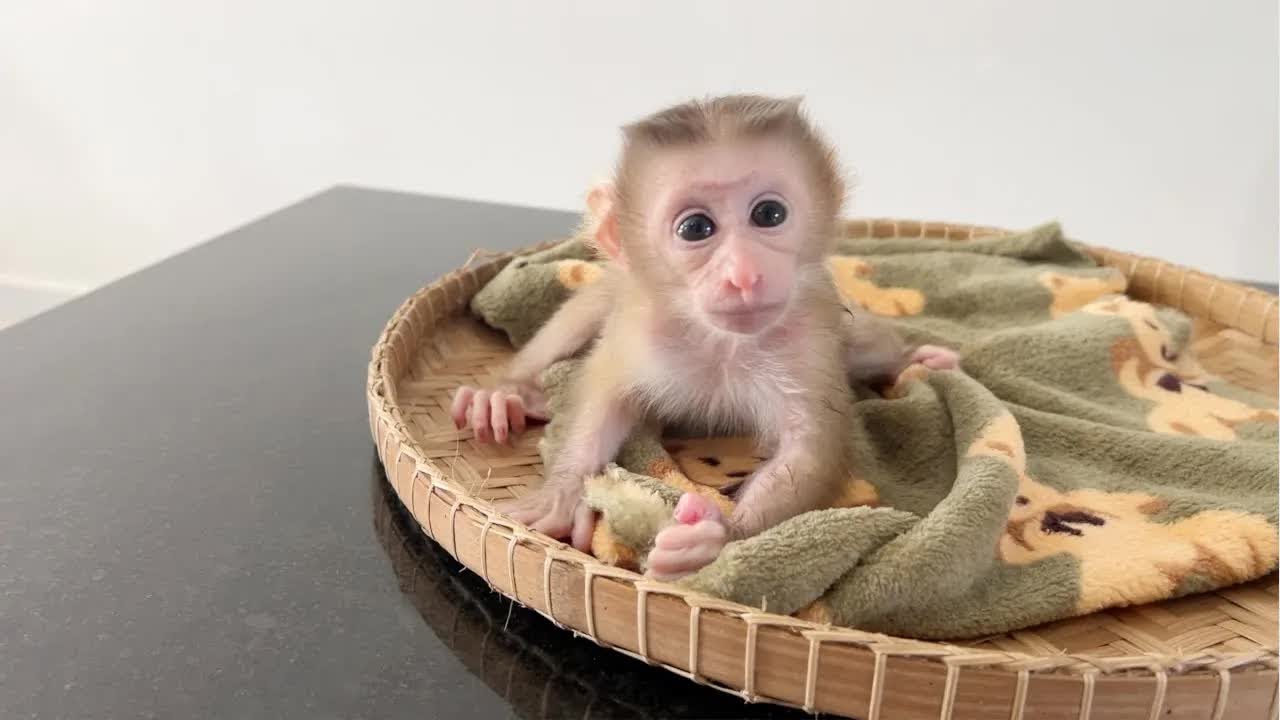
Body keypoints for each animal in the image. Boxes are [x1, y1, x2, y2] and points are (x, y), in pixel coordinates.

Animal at [452, 95, 959, 578]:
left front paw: (715, 539)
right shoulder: (639, 327)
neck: (722, 343)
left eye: (769, 214)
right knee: (582, 313)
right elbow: (603, 395)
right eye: (696, 228)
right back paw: (507, 393)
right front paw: (561, 492)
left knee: (870, 343)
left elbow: (811, 447)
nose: (744, 274)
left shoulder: (810, 337)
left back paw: (915, 359)